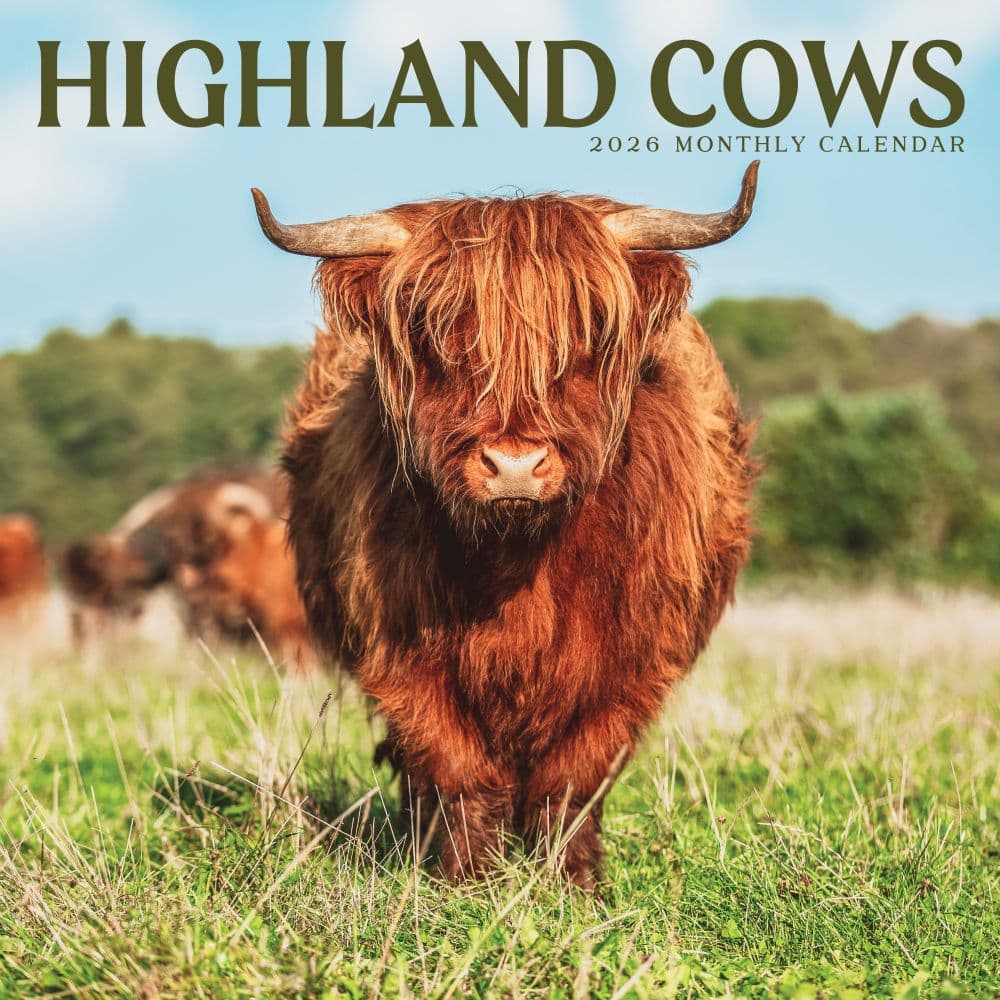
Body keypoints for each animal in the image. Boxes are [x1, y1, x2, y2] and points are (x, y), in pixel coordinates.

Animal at [251, 163, 759, 885]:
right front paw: (466, 880)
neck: (518, 559)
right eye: (434, 332)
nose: (514, 464)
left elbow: (574, 776)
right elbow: (455, 768)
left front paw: (573, 882)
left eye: (587, 331)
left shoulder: (631, 660)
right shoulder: (398, 650)